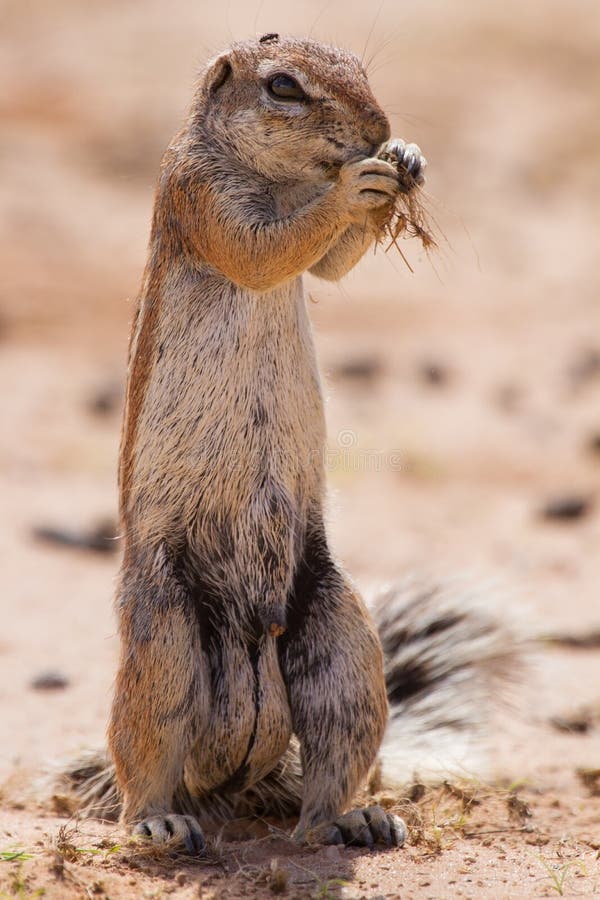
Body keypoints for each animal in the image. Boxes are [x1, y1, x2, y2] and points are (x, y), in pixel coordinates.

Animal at [58, 34, 519, 854]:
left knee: (331, 755)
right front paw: (356, 184)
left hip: (342, 637)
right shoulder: (199, 197)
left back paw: (350, 817)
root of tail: (235, 771)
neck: (279, 178)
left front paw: (407, 158)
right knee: (144, 744)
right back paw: (158, 820)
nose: (378, 130)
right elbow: (263, 249)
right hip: (163, 634)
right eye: (283, 88)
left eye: (363, 71)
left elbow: (327, 264)